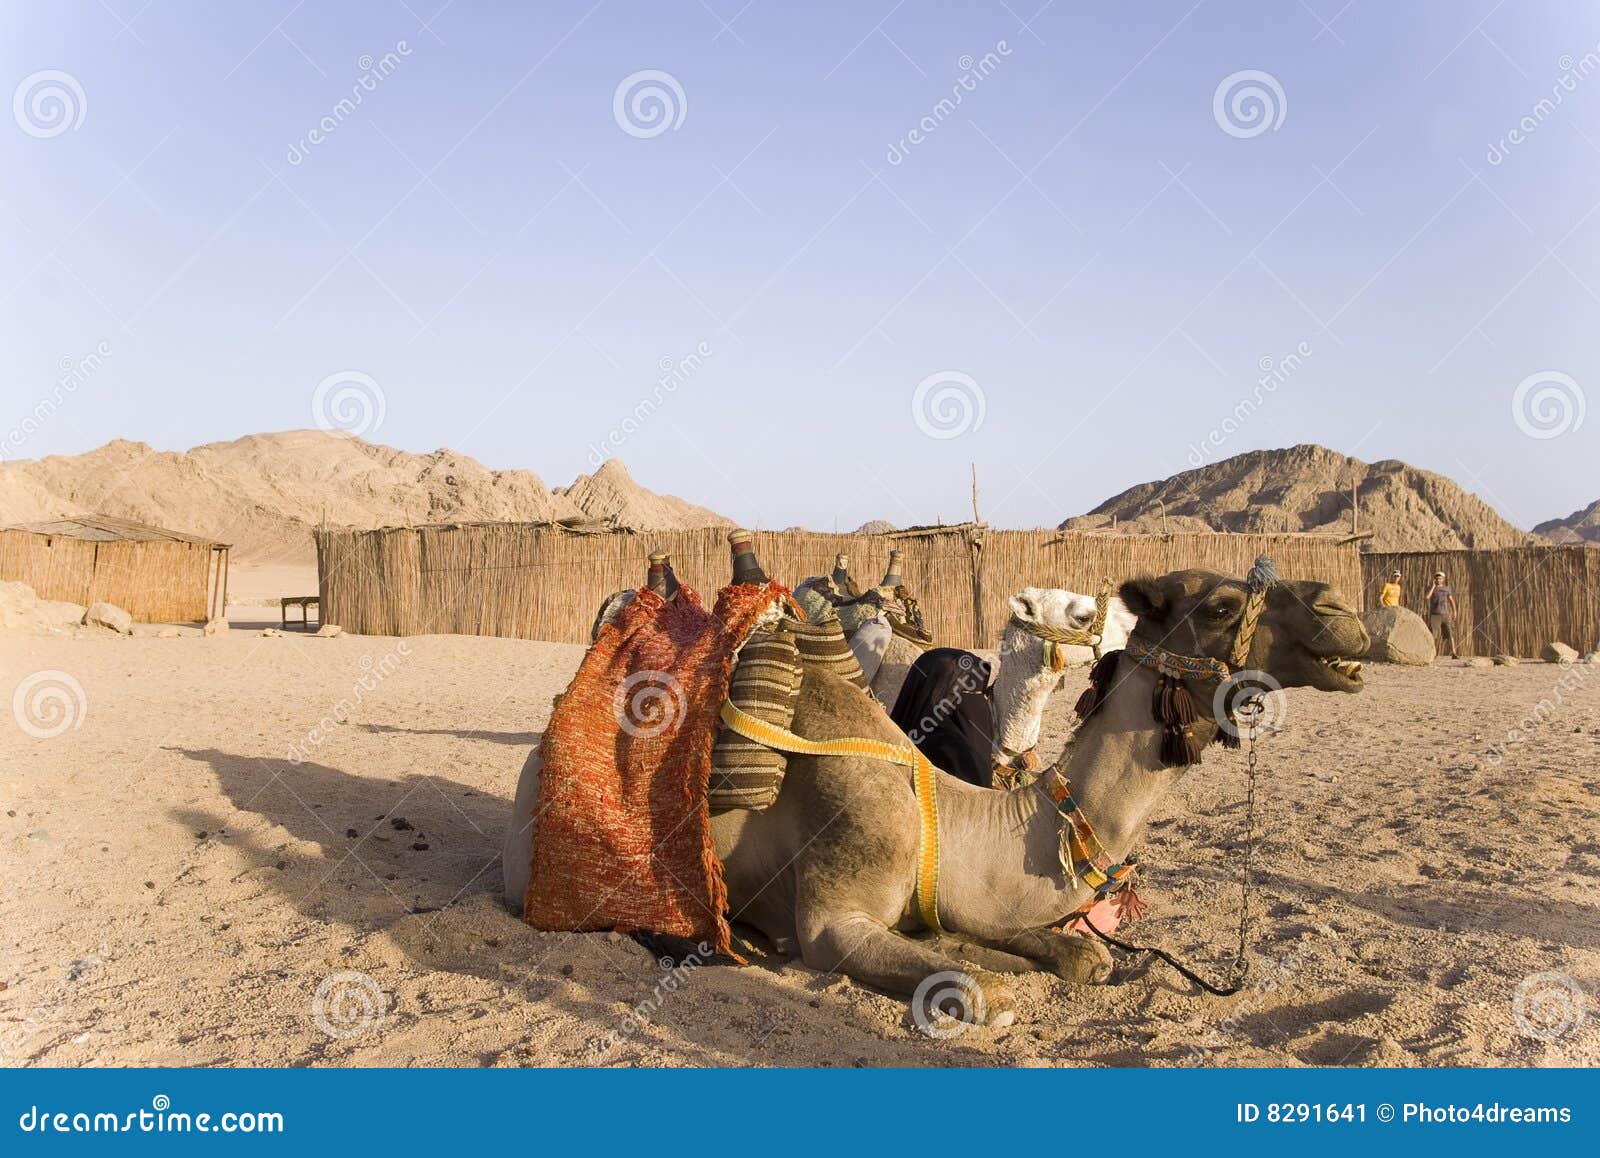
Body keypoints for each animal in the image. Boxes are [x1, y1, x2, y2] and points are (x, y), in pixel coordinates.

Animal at [505, 557, 1368, 1027]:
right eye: (1221, 605)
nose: (1344, 615)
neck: (952, 813)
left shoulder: (959, 891)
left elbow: (1069, 954)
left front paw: (1049, 952)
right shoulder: (834, 917)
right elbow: (987, 989)